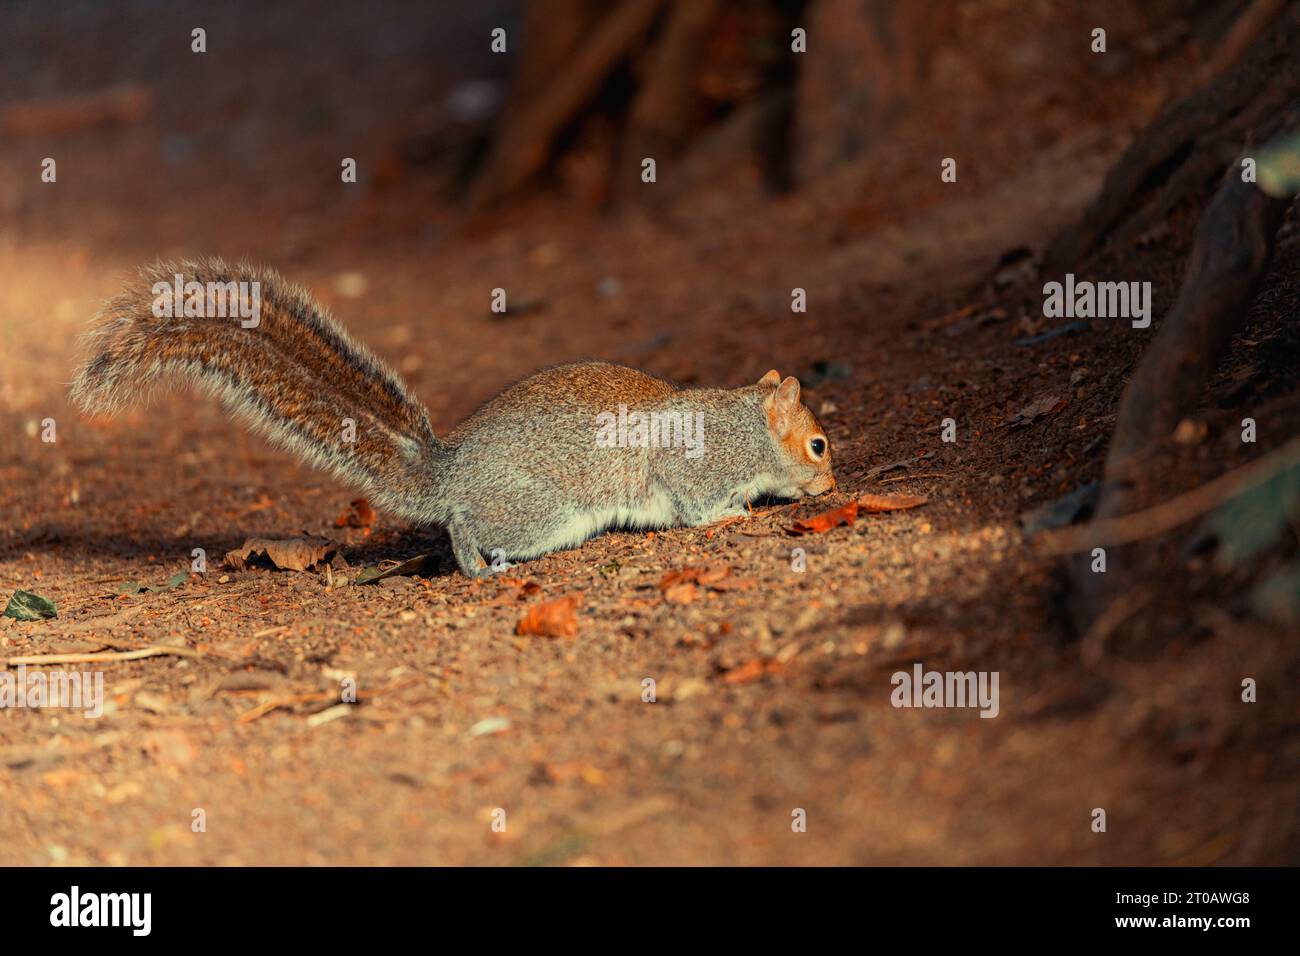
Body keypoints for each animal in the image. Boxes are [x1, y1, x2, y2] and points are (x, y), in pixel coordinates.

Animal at [70, 259, 836, 578]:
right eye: (819, 446)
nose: (833, 487)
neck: (742, 424)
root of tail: (450, 475)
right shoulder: (694, 465)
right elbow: (696, 502)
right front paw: (735, 513)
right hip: (540, 511)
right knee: (468, 531)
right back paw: (479, 568)